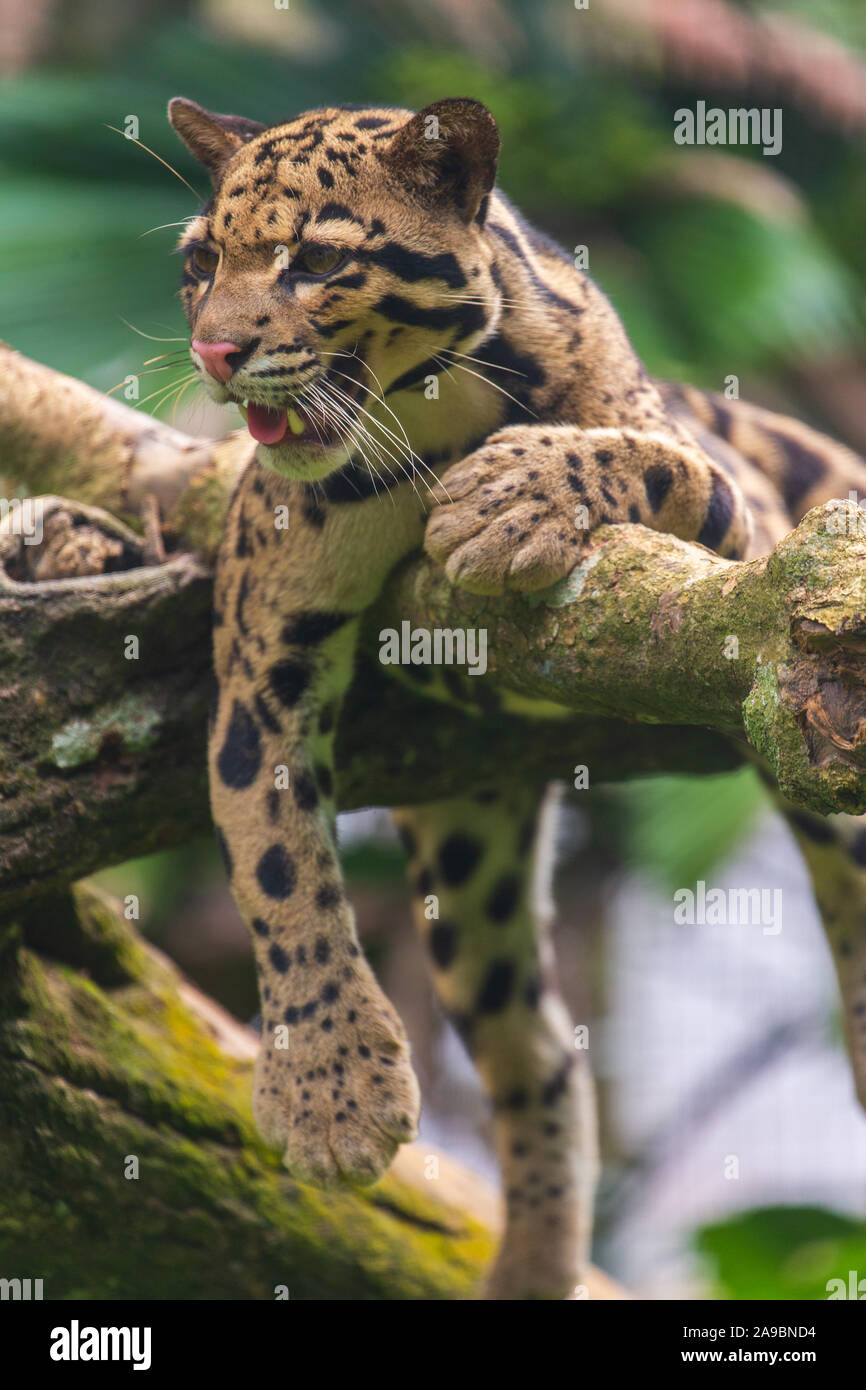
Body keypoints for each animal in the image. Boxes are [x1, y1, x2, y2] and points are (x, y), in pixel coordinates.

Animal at [167, 93, 866, 1300]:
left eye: (315, 260)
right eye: (202, 262)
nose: (217, 351)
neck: (431, 408)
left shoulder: (758, 544)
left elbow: (654, 456)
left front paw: (520, 490)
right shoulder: (261, 654)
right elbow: (274, 856)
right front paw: (331, 1091)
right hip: (466, 857)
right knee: (531, 1049)